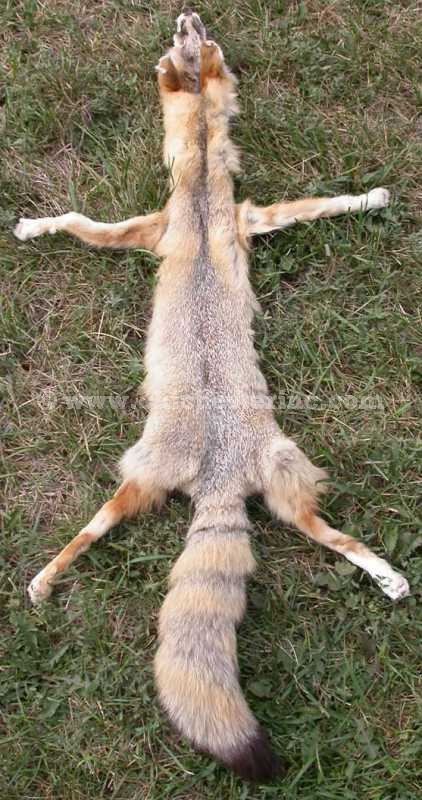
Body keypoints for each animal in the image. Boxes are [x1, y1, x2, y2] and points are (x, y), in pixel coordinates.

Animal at [15, 10, 410, 783]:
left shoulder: (173, 224)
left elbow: (78, 222)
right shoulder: (227, 220)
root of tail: (221, 477)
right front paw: (30, 226)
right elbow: (73, 221)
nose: (186, 15)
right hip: (265, 482)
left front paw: (371, 196)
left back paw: (43, 578)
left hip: (152, 479)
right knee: (319, 529)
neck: (199, 197)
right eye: (183, 46)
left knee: (97, 529)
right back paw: (389, 577)